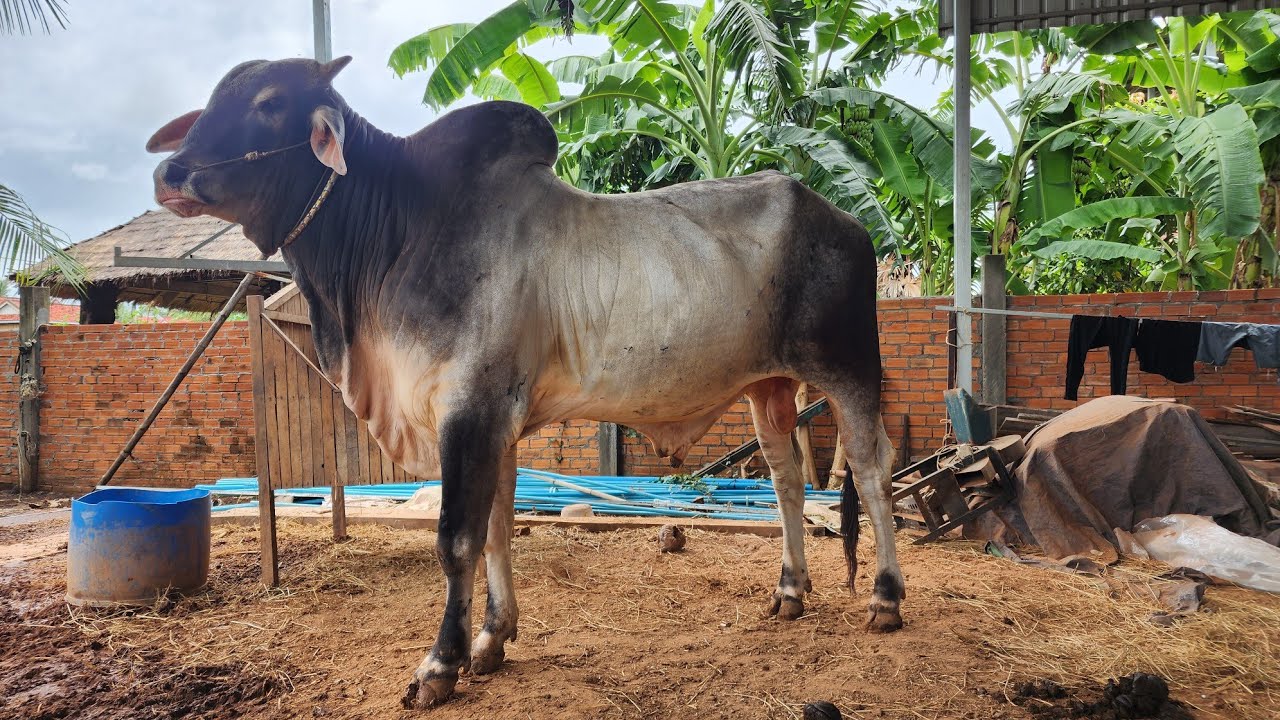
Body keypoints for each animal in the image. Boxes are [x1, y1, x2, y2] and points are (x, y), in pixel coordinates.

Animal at [147, 57, 905, 709]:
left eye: (269, 103)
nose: (171, 172)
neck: (397, 232)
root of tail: (847, 219)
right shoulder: (497, 425)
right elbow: (496, 531)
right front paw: (492, 638)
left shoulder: (469, 413)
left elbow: (456, 537)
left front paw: (440, 665)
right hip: (768, 387)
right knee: (786, 478)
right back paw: (791, 591)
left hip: (848, 370)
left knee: (873, 472)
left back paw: (886, 599)